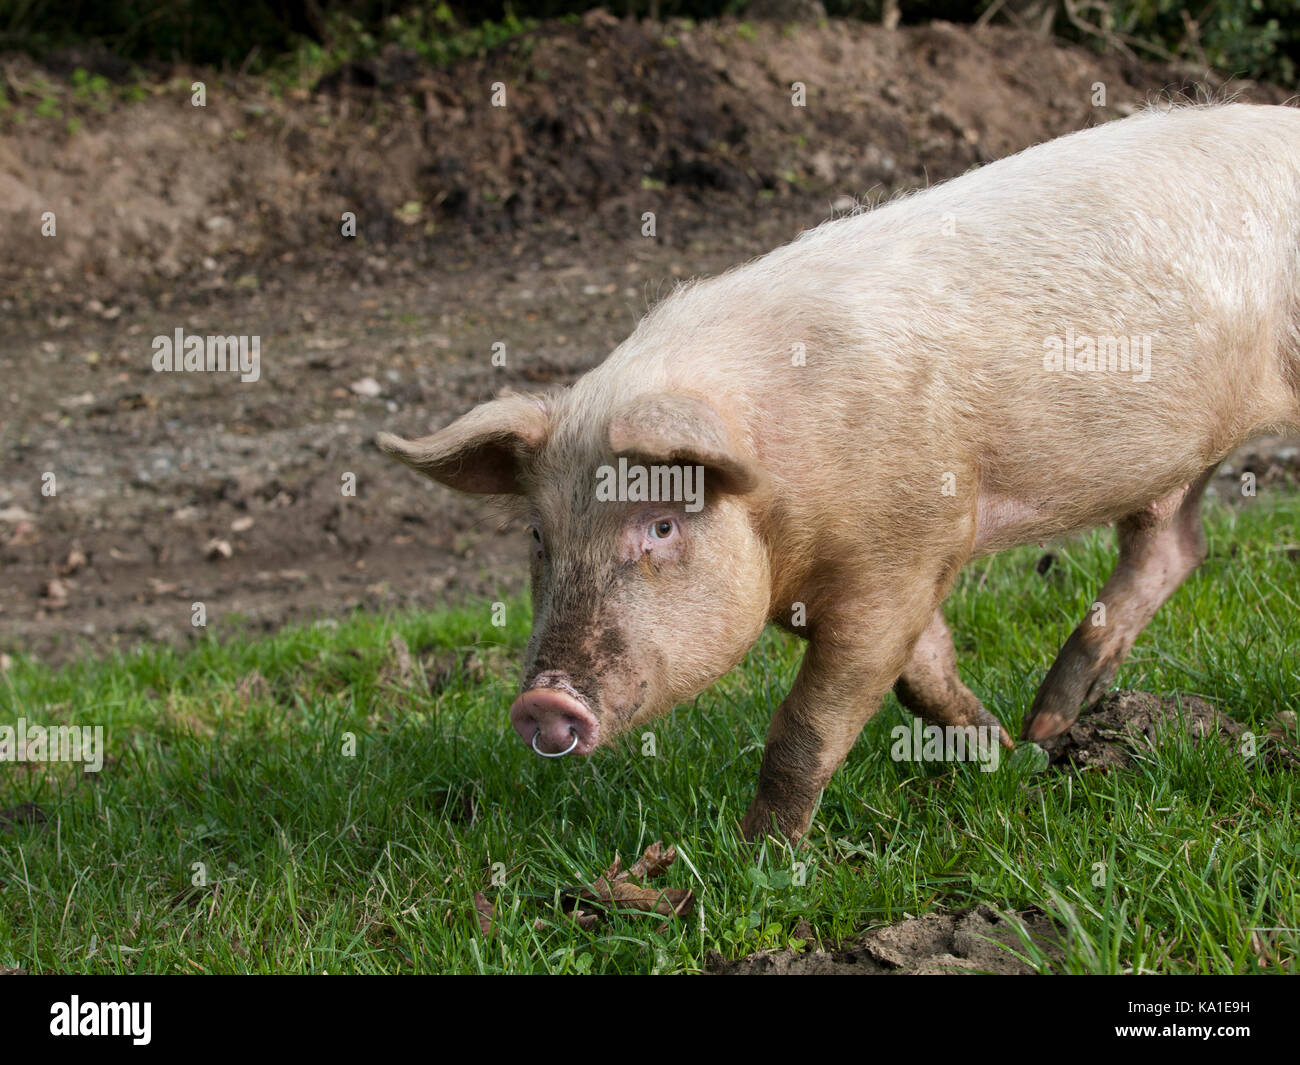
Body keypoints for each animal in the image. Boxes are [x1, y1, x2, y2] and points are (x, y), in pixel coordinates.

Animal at [380, 103, 1300, 840]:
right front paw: (1001, 755)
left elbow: (809, 724)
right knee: (1173, 548)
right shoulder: (884, 572)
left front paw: (756, 858)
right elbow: (924, 673)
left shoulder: (902, 551)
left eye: (663, 521)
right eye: (539, 534)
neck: (781, 501)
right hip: (1179, 459)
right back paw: (1048, 723)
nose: (543, 700)